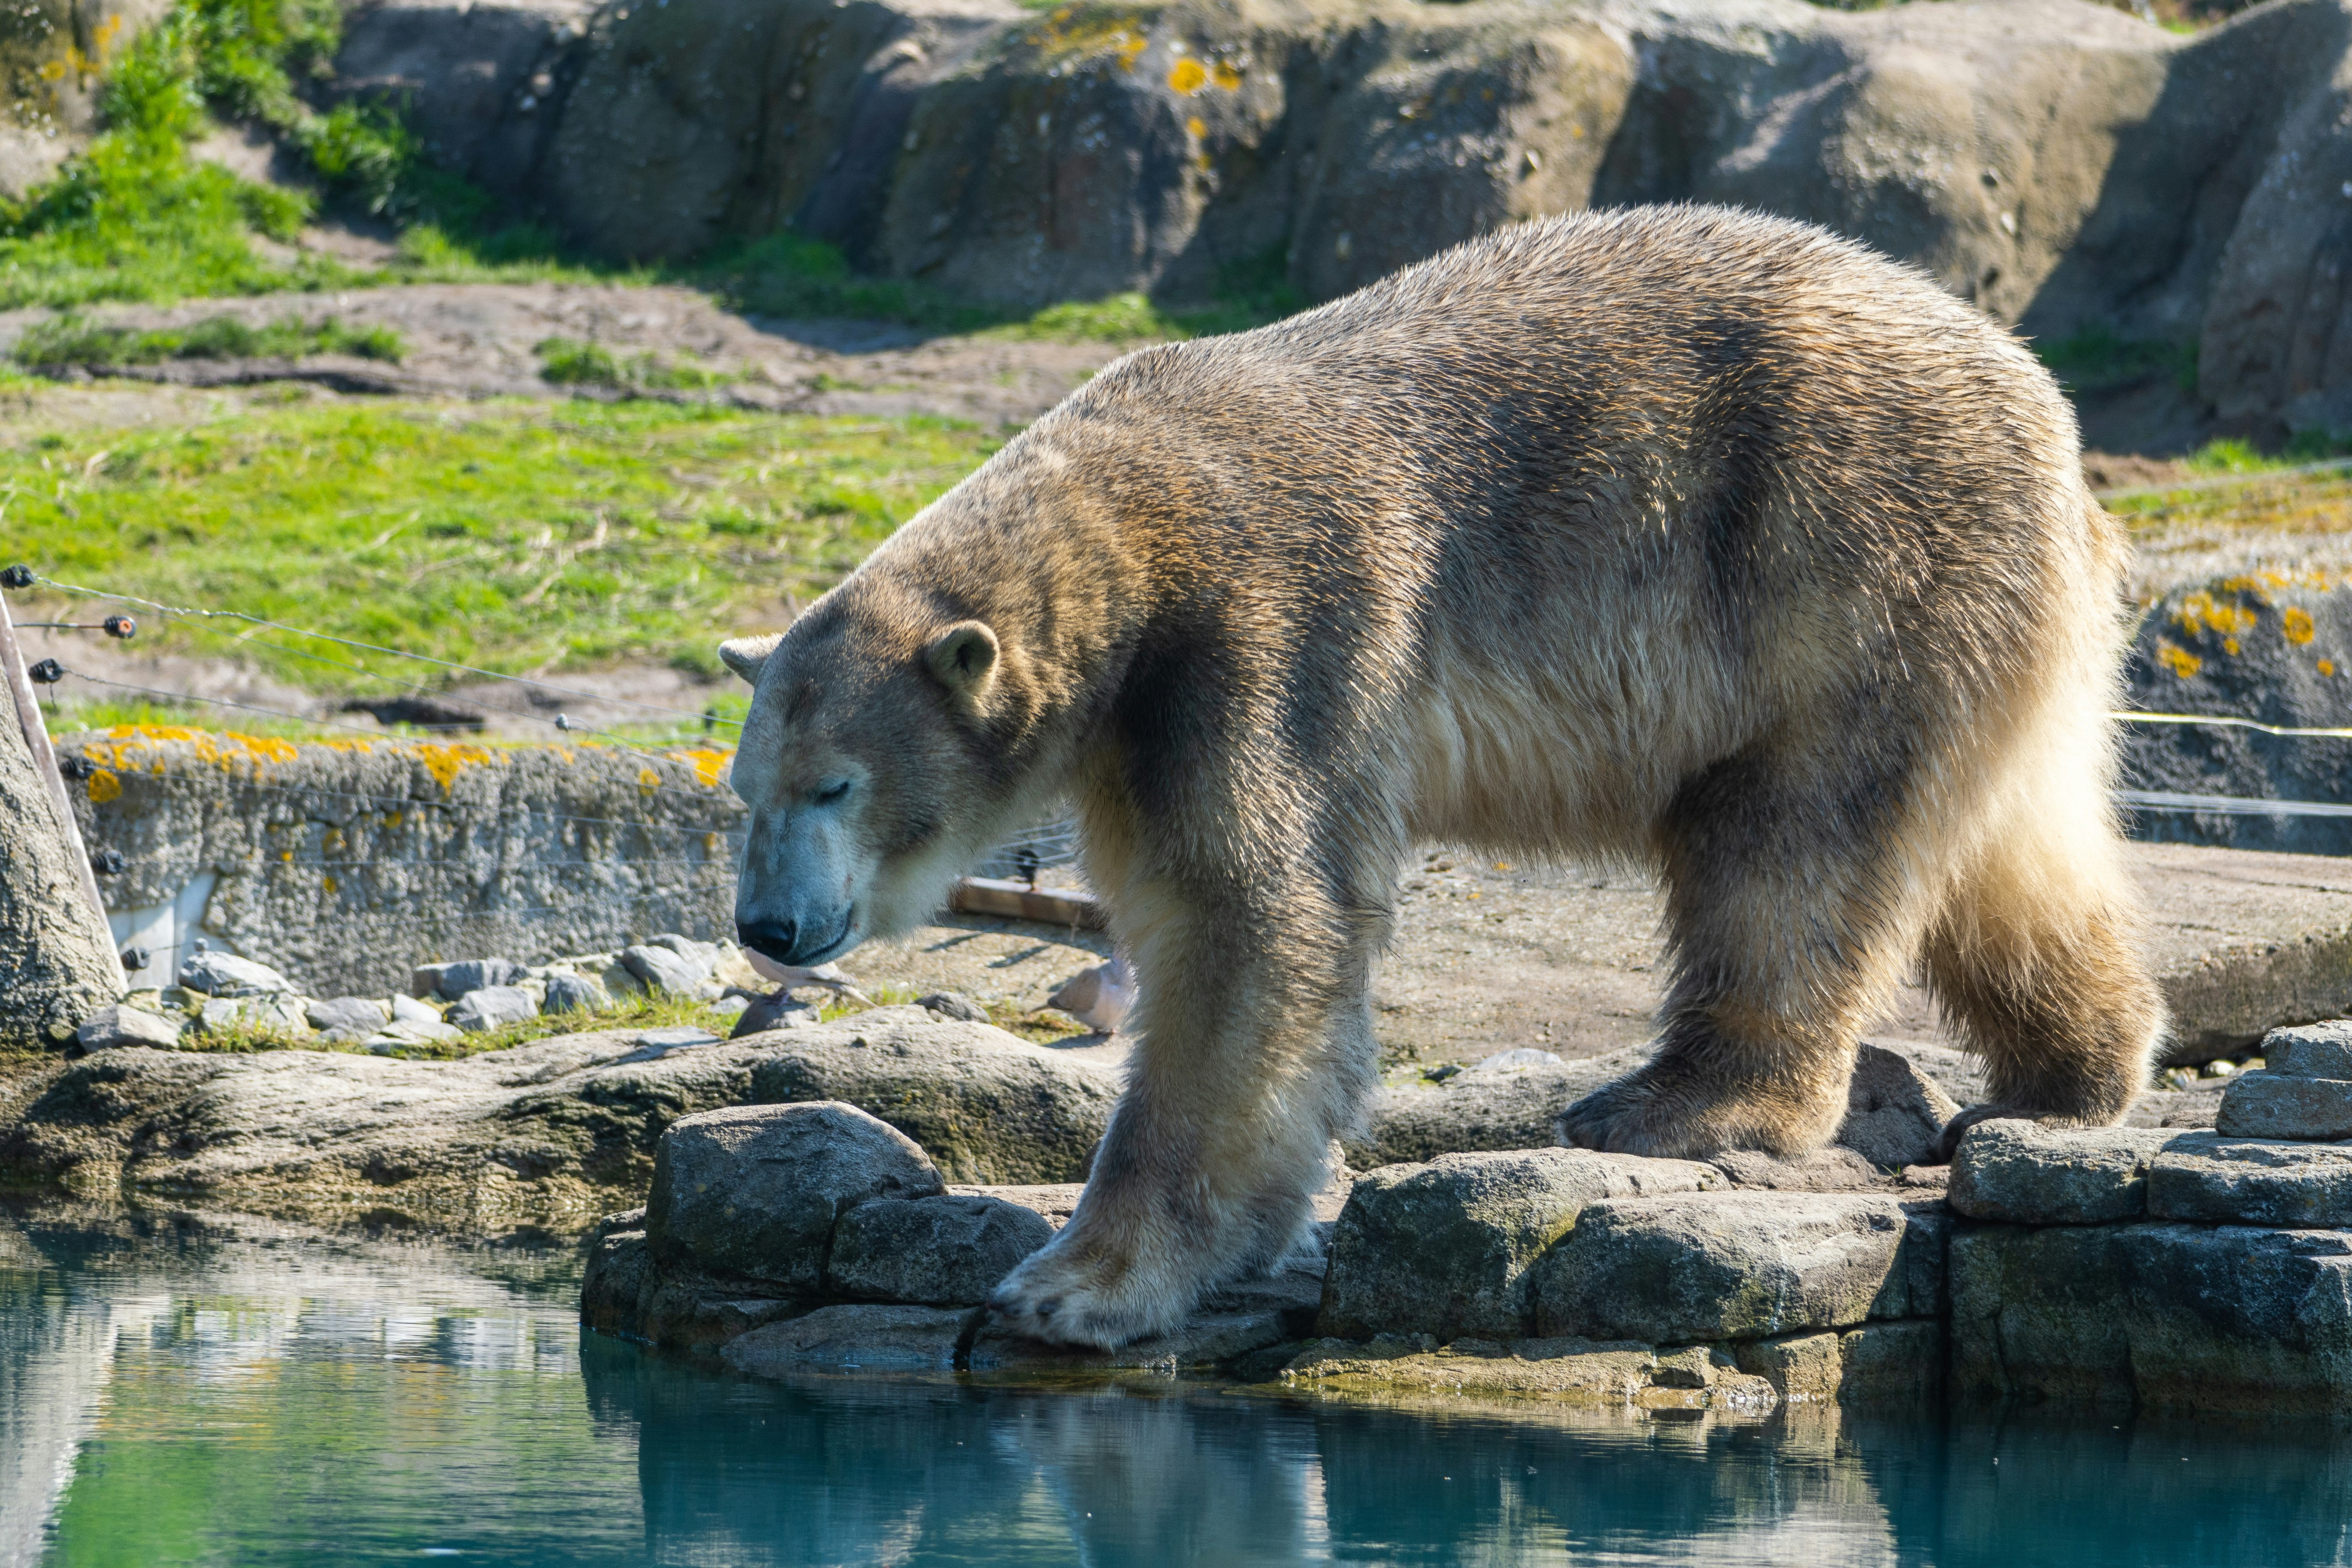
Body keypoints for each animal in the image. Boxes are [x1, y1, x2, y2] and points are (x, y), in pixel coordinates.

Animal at [717, 205, 2167, 1349]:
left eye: (836, 786)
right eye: (747, 791)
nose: (769, 925)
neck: (1131, 532)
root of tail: (2048, 421)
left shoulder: (1259, 643)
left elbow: (1252, 925)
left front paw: (1080, 1284)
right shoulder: (1137, 723)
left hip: (1841, 566)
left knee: (1788, 848)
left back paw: (1675, 1102)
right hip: (1963, 613)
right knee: (2008, 844)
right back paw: (2072, 1072)